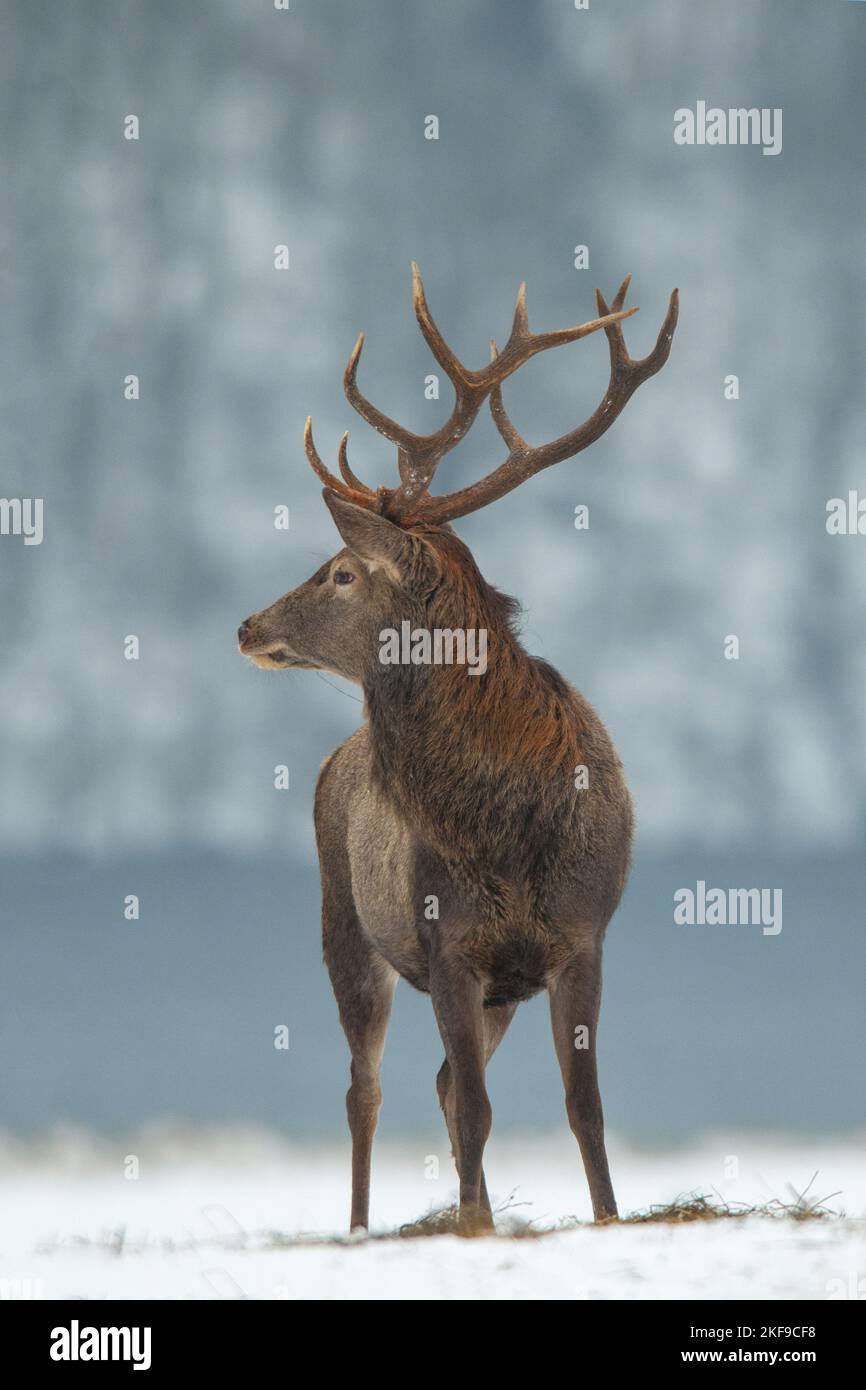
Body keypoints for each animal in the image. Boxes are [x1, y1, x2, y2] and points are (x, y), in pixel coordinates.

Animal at [238, 266, 678, 1234]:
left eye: (342, 571)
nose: (248, 624)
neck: (511, 824)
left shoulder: (579, 938)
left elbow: (583, 1106)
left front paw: (602, 1217)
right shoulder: (448, 944)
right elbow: (477, 1106)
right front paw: (474, 1228)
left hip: (495, 985)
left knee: (438, 1081)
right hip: (345, 924)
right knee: (366, 1089)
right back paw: (361, 1226)